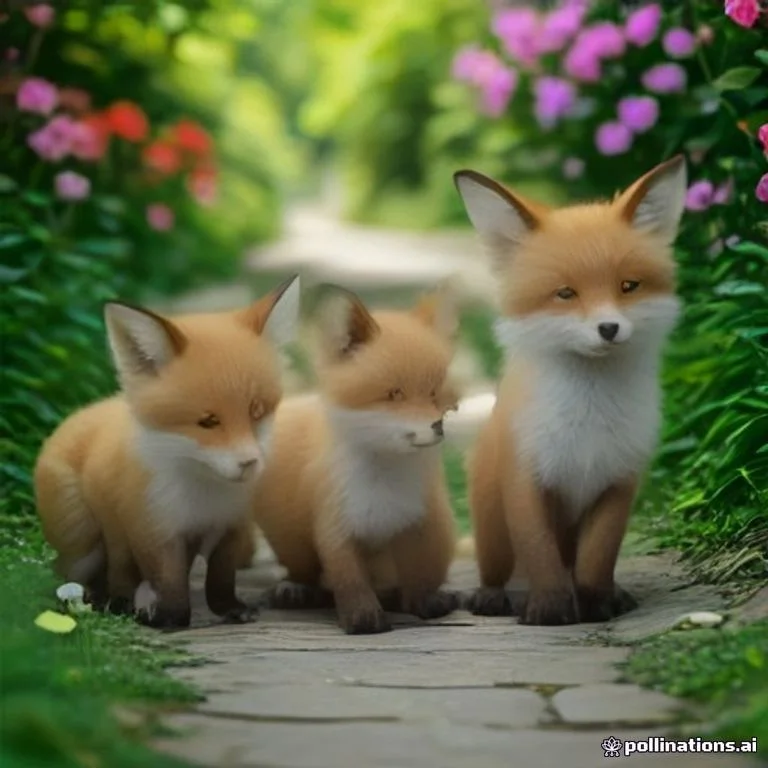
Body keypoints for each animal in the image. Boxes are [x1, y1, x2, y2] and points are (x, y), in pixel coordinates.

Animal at [34, 275, 300, 629]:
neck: (203, 498)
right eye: (208, 421)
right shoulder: (154, 530)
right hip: (83, 541)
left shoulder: (232, 527)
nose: (250, 463)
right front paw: (168, 619)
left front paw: (229, 608)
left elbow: (220, 578)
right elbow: (170, 587)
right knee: (74, 576)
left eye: (256, 410)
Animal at [251, 285, 461, 634]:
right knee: (308, 573)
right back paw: (296, 589)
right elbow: (350, 579)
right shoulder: (336, 525)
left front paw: (423, 602)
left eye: (435, 393)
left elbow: (417, 576)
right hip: (289, 536)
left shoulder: (417, 523)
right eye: (394, 394)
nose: (437, 426)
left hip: (444, 532)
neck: (384, 484)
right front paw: (363, 617)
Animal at [453, 156, 688, 625]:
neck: (589, 418)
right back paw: (493, 596)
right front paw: (549, 609)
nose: (609, 328)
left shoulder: (619, 479)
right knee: (499, 567)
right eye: (565, 293)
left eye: (628, 286)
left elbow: (597, 559)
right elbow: (540, 553)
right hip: (489, 518)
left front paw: (597, 604)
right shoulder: (525, 478)